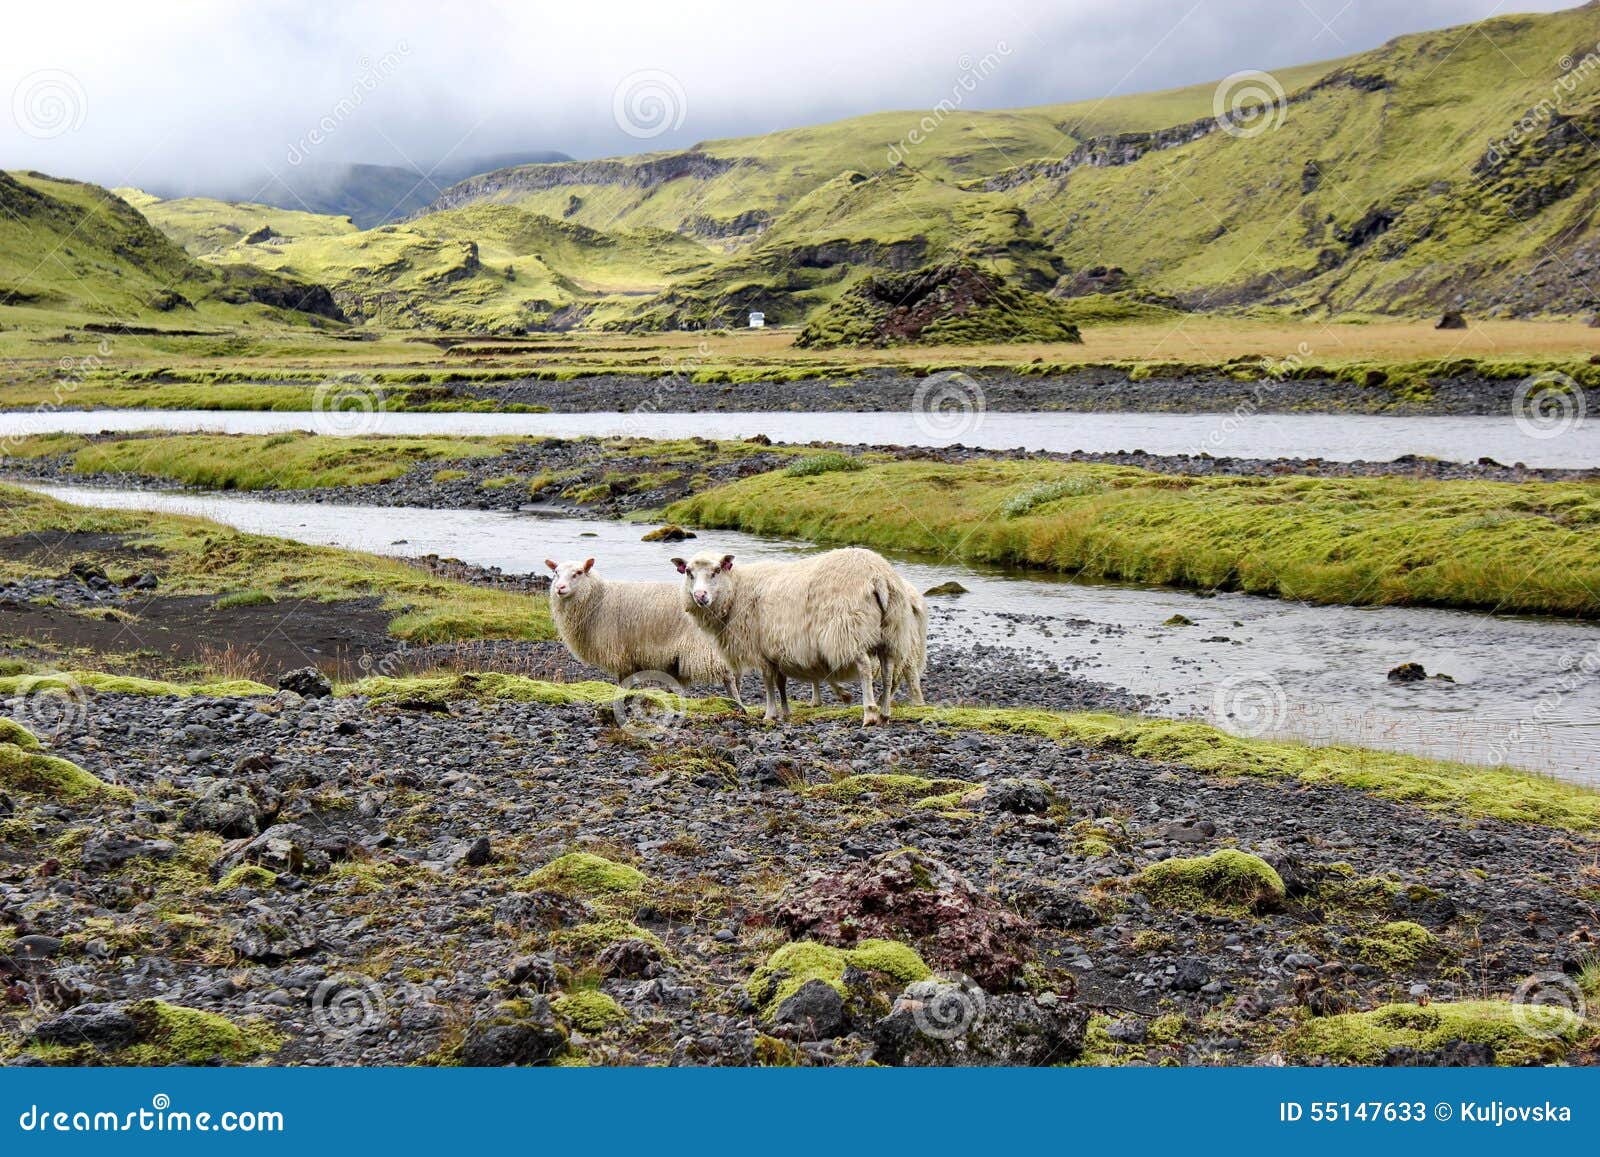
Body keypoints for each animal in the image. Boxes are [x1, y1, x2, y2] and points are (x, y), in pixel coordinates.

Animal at [545, 558, 741, 701]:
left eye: (578, 573)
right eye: (556, 573)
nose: (559, 588)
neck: (598, 598)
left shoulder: (621, 654)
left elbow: (624, 682)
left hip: (703, 647)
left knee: (729, 677)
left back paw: (737, 703)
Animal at [671, 547, 912, 726]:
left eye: (716, 571)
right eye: (689, 573)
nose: (700, 596)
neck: (737, 590)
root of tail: (877, 575)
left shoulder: (761, 649)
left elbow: (768, 682)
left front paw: (770, 714)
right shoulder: (775, 649)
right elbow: (781, 682)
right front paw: (786, 712)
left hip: (848, 629)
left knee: (864, 668)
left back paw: (869, 713)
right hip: (891, 632)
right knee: (888, 672)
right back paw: (884, 714)